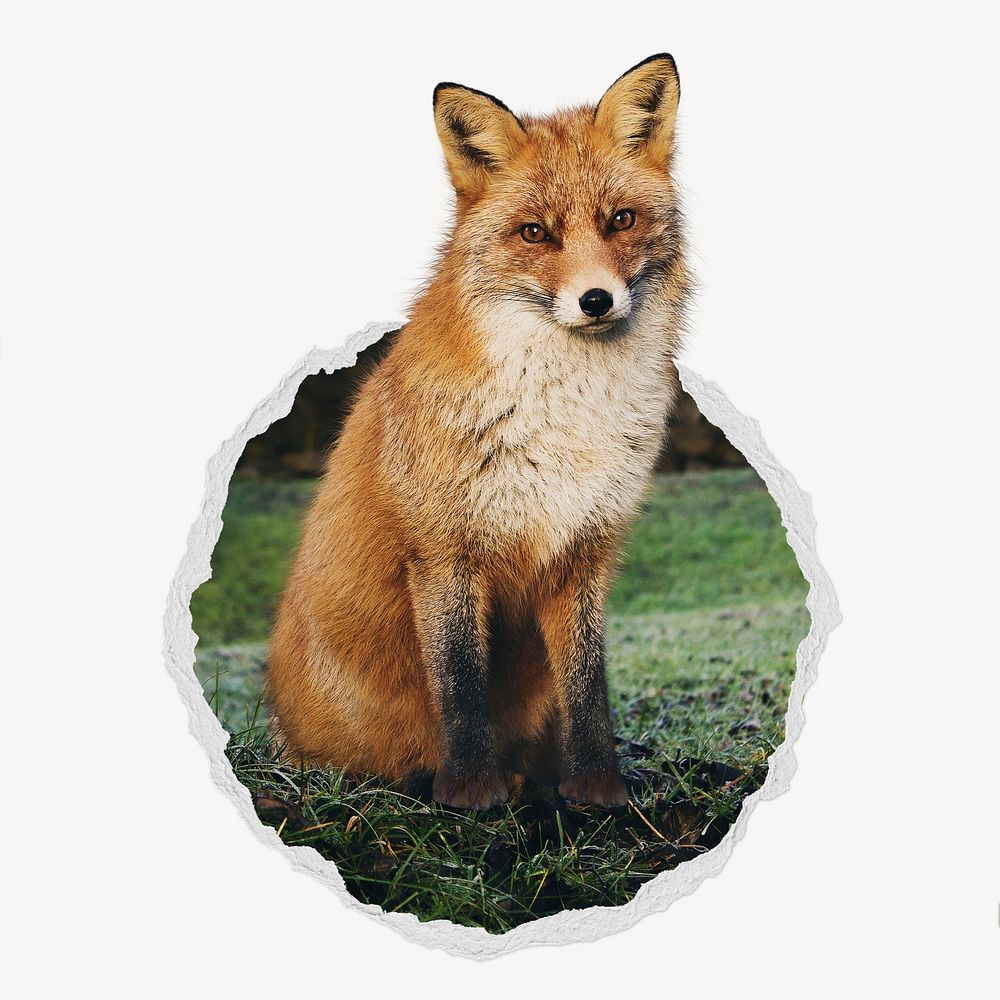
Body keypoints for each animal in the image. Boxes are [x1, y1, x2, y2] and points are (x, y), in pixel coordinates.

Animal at [268, 54, 690, 809]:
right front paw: (469, 795)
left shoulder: (585, 552)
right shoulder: (444, 553)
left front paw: (597, 791)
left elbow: (589, 690)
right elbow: (462, 689)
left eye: (621, 220)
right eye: (535, 233)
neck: (563, 425)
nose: (596, 300)